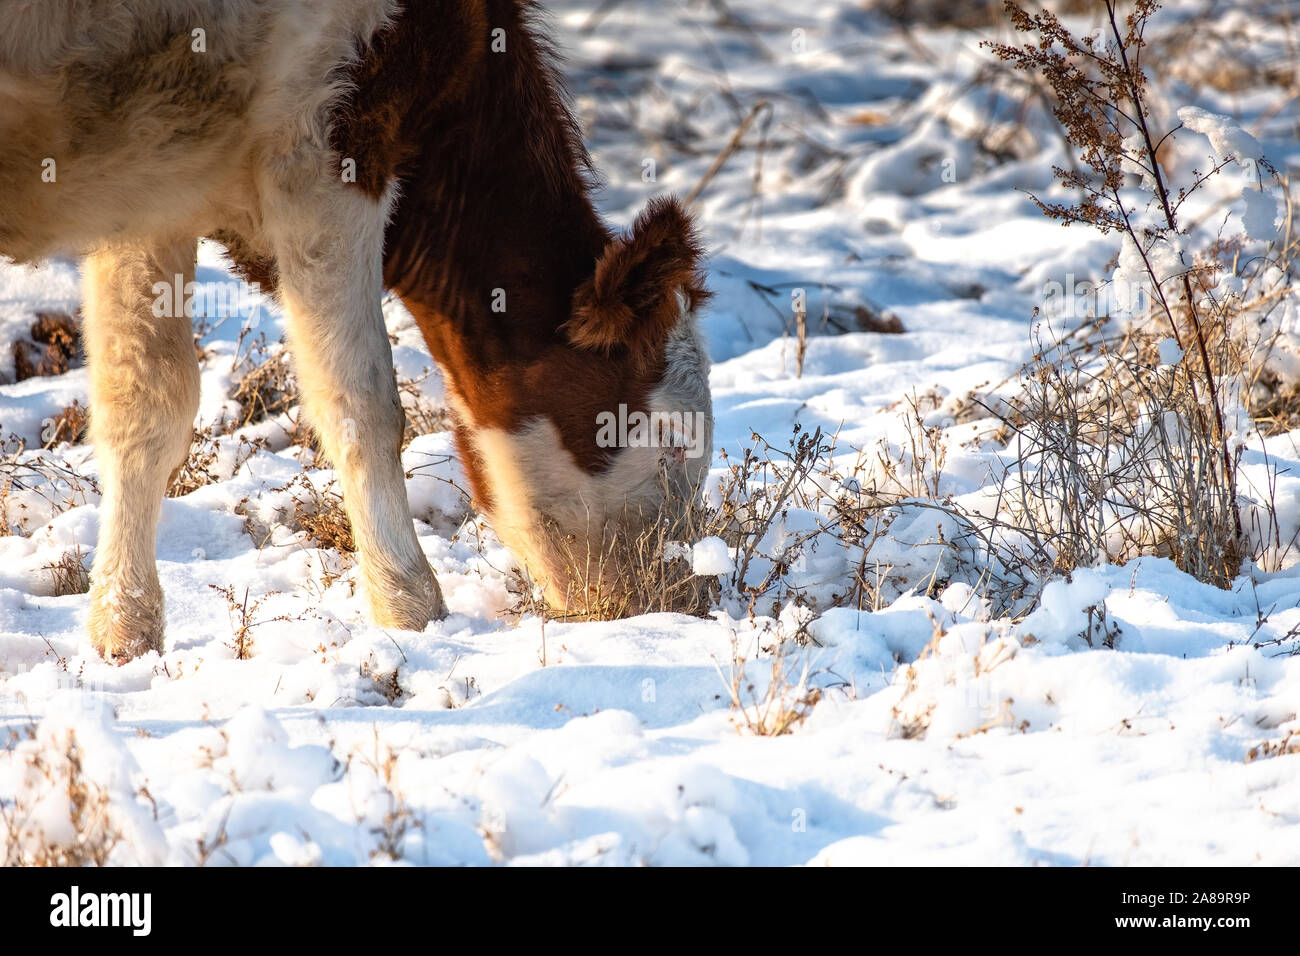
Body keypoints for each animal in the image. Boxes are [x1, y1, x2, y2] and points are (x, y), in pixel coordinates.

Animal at [0, 0, 713, 661]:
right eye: (672, 441)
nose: (669, 598)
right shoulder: (328, 145)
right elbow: (361, 403)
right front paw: (412, 608)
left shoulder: (152, 190)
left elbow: (147, 405)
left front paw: (123, 630)